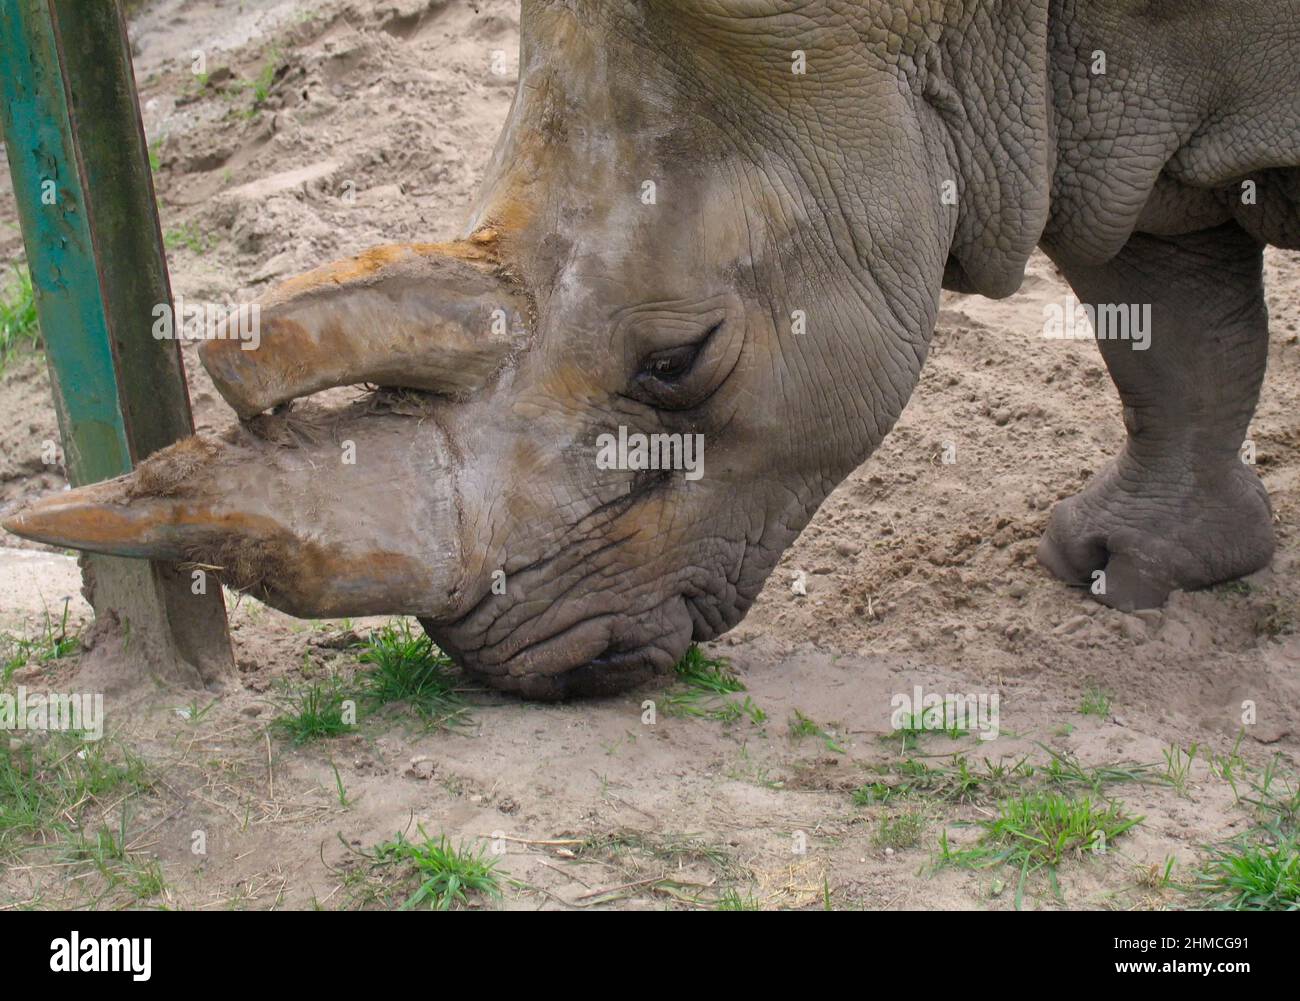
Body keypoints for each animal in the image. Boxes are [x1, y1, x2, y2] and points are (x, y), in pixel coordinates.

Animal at [6, 0, 1299, 698]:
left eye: (674, 366)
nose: (525, 666)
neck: (958, 29)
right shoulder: (1106, 114)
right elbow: (1171, 325)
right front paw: (1124, 570)